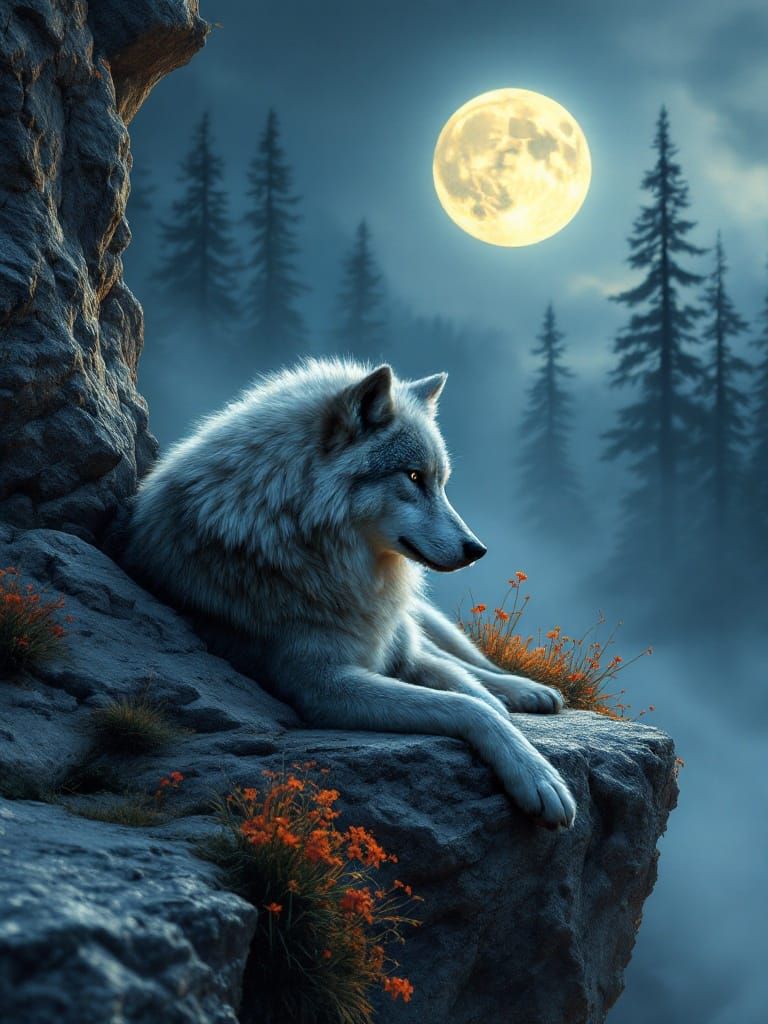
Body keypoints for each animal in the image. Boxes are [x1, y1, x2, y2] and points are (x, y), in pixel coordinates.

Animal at [125, 359, 576, 828]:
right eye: (413, 477)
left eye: (441, 482)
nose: (478, 549)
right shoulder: (323, 687)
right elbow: (469, 707)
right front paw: (536, 775)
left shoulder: (401, 654)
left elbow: (466, 685)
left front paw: (515, 718)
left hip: (418, 627)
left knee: (468, 659)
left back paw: (530, 690)